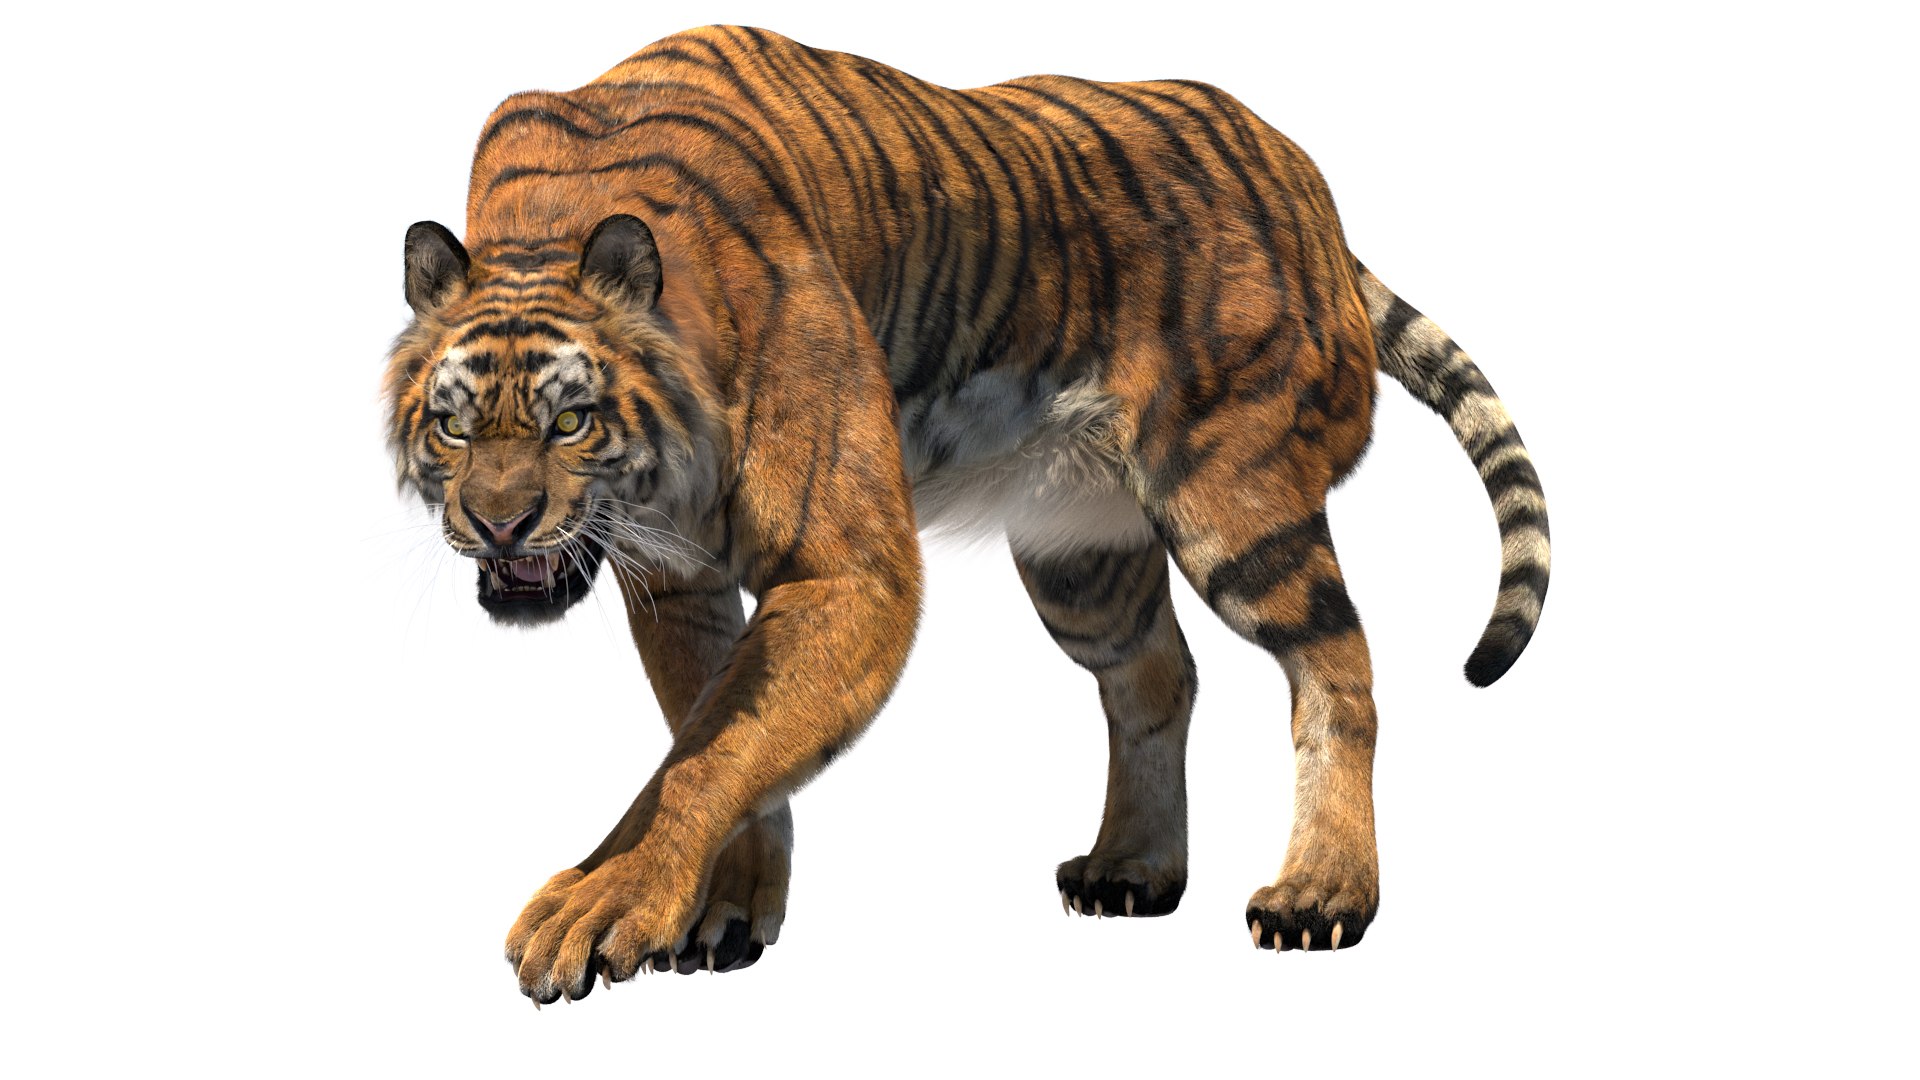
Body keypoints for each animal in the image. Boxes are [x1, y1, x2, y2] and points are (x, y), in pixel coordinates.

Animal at [383, 25, 1550, 1005]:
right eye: (452, 428)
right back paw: (1133, 868)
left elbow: (708, 755)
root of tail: (1310, 186)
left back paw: (1323, 893)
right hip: (1081, 556)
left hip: (1237, 498)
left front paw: (603, 900)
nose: (498, 524)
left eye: (570, 420)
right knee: (1157, 676)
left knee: (1338, 664)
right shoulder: (676, 579)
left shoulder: (850, 570)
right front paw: (725, 913)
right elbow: (714, 730)